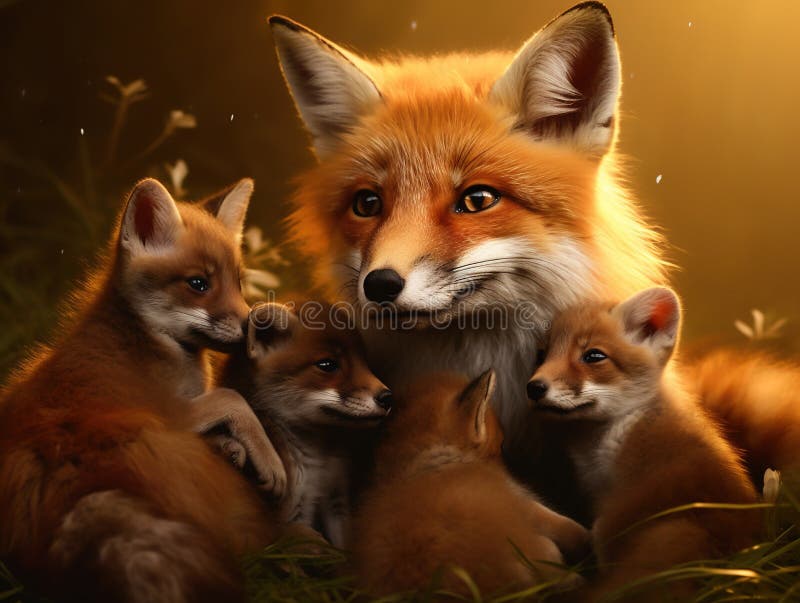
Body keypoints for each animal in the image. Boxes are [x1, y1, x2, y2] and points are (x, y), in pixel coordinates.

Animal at [0, 178, 286, 602]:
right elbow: (233, 398)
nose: (252, 325)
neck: (147, 336)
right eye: (198, 284)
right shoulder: (171, 411)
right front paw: (266, 457)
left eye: (237, 282)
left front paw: (233, 446)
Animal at [216, 300, 392, 548]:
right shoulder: (293, 513)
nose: (387, 398)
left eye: (364, 362)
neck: (317, 465)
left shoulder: (336, 499)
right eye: (327, 364)